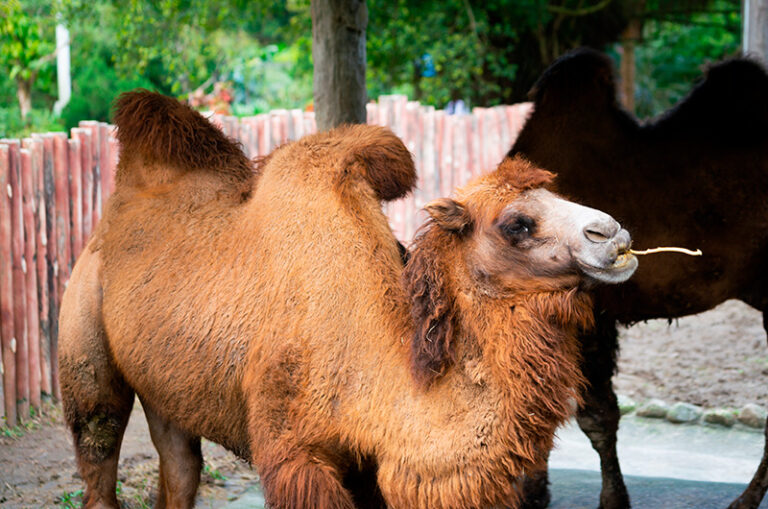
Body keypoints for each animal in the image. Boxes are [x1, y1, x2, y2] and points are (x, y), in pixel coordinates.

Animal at [59, 90, 638, 508]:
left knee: (179, 468)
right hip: (83, 338)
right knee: (98, 443)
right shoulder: (295, 455)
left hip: (167, 385)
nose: (613, 235)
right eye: (517, 223)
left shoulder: (370, 466)